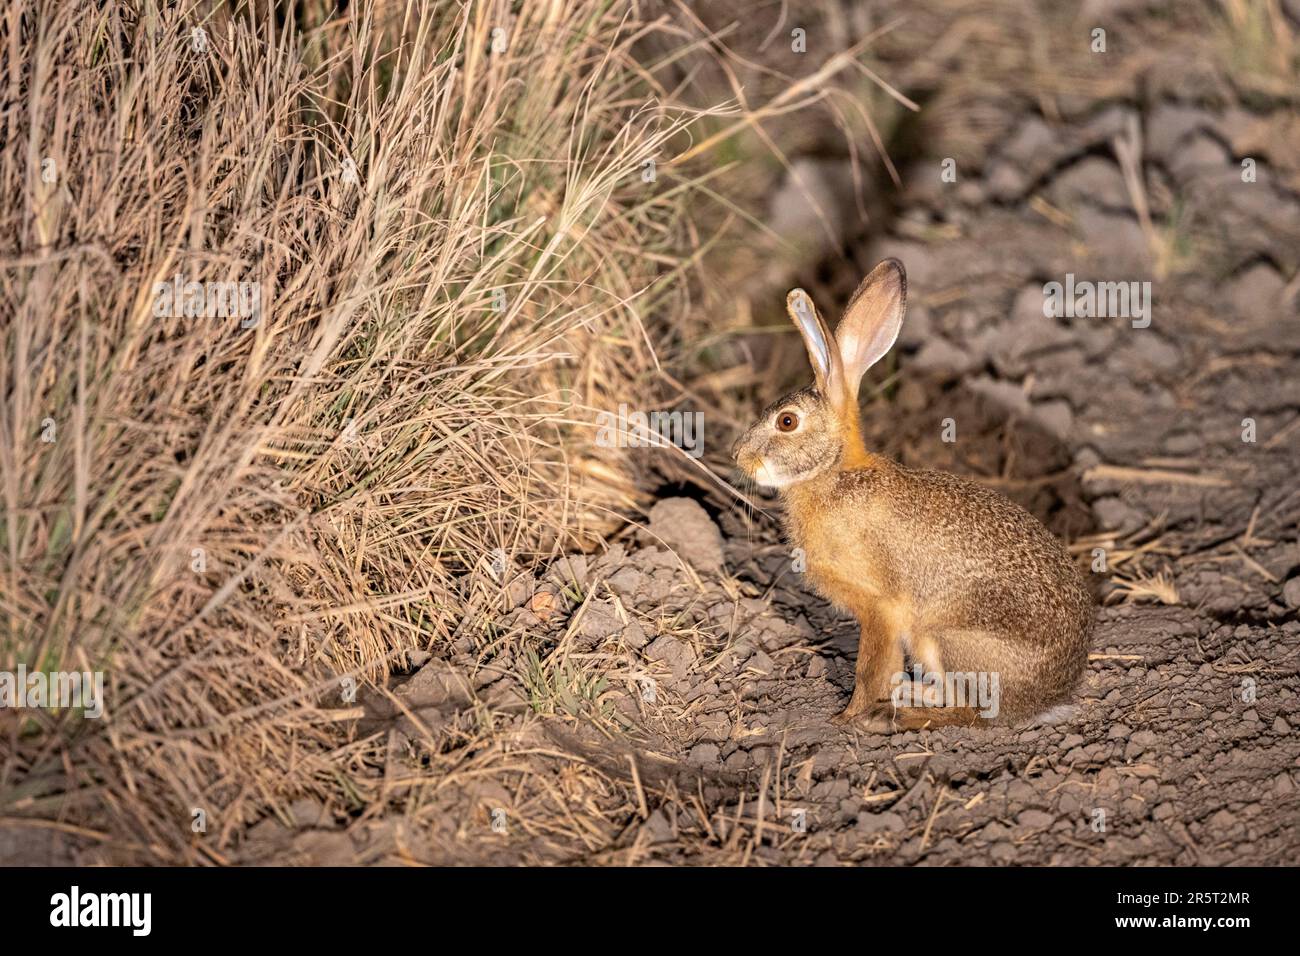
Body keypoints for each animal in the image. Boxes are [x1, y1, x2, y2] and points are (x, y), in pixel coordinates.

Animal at [731, 259, 1094, 731]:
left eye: (787, 422)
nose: (739, 456)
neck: (834, 473)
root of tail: (1047, 697)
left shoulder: (880, 608)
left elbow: (871, 669)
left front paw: (847, 717)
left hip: (942, 641)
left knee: (972, 714)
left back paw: (897, 716)